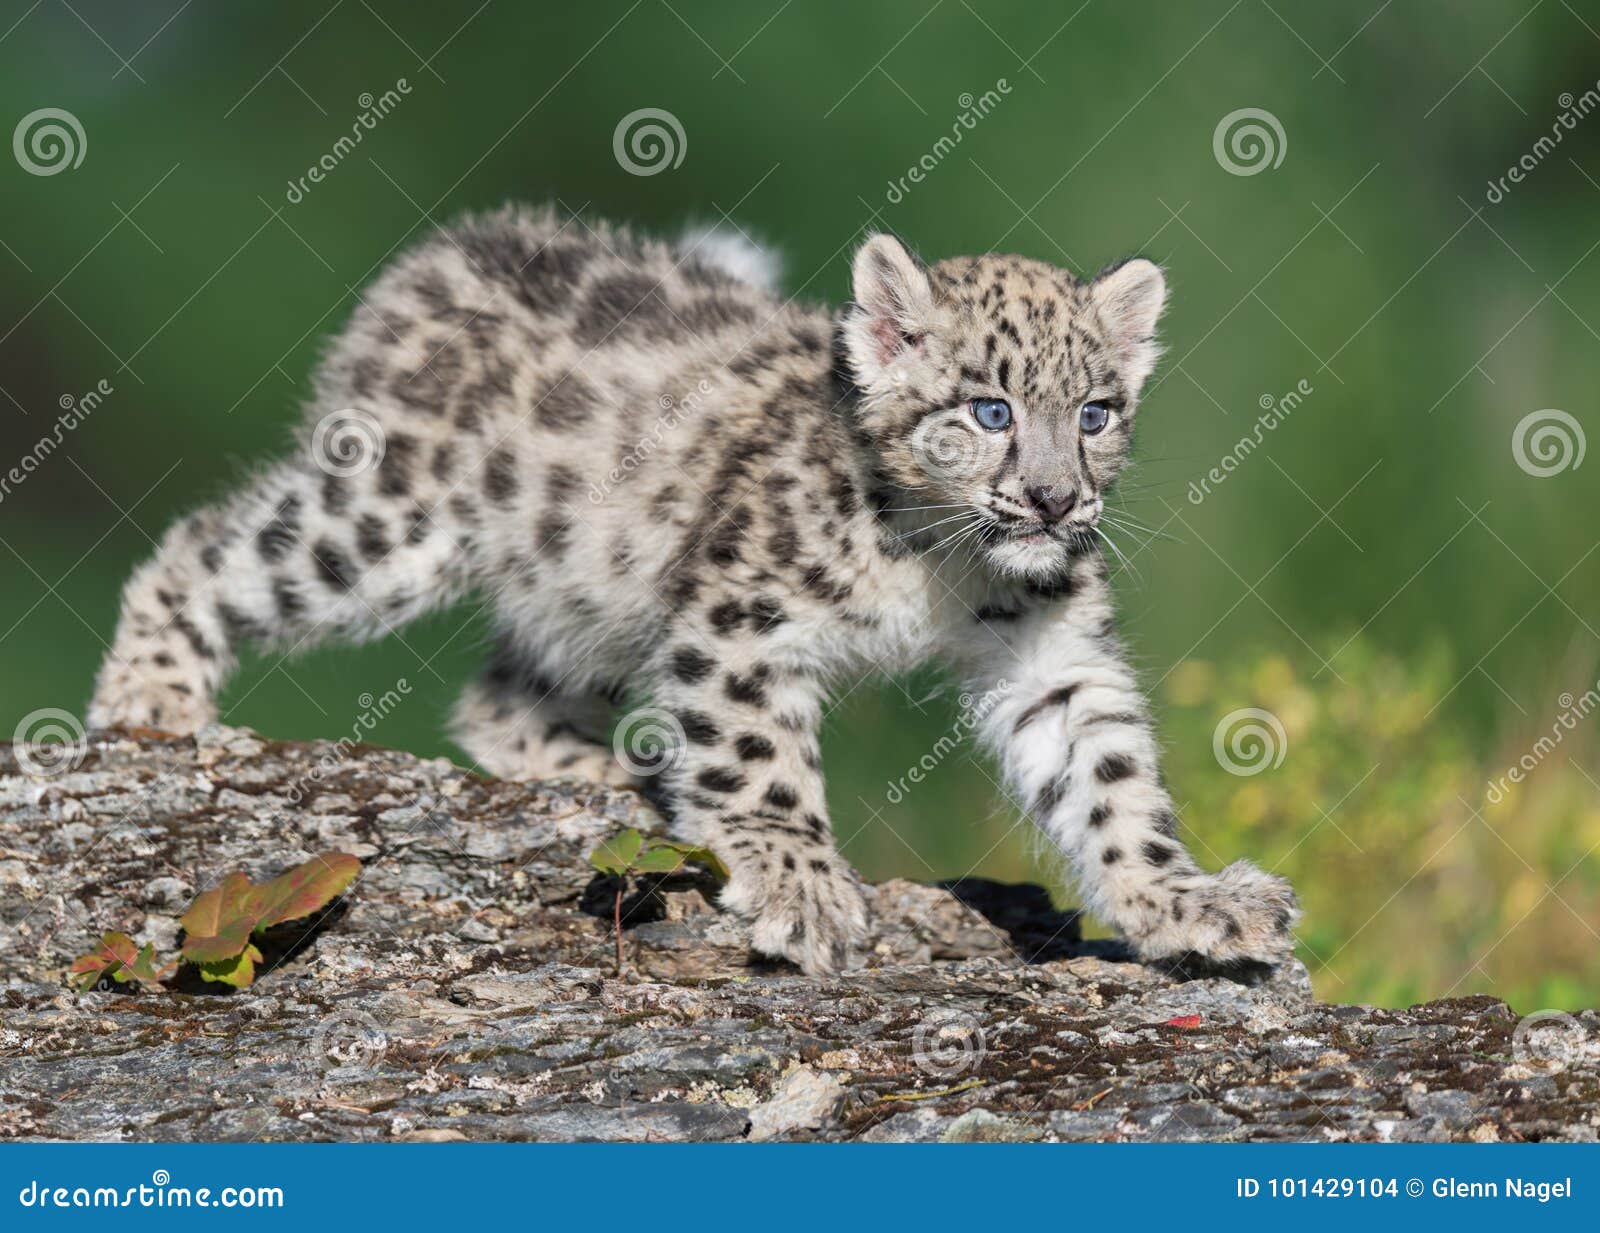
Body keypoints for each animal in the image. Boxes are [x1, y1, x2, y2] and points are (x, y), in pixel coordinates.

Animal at [88, 203, 1299, 975]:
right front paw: (805, 890)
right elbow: (759, 760)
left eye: (1094, 412)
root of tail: (460, 243)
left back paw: (598, 772)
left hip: (579, 580)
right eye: (990, 408)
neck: (945, 568)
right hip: (385, 523)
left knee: (500, 692)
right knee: (208, 544)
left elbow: (1110, 782)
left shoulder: (1051, 654)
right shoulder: (742, 619)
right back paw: (149, 701)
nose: (1052, 501)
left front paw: (1189, 902)